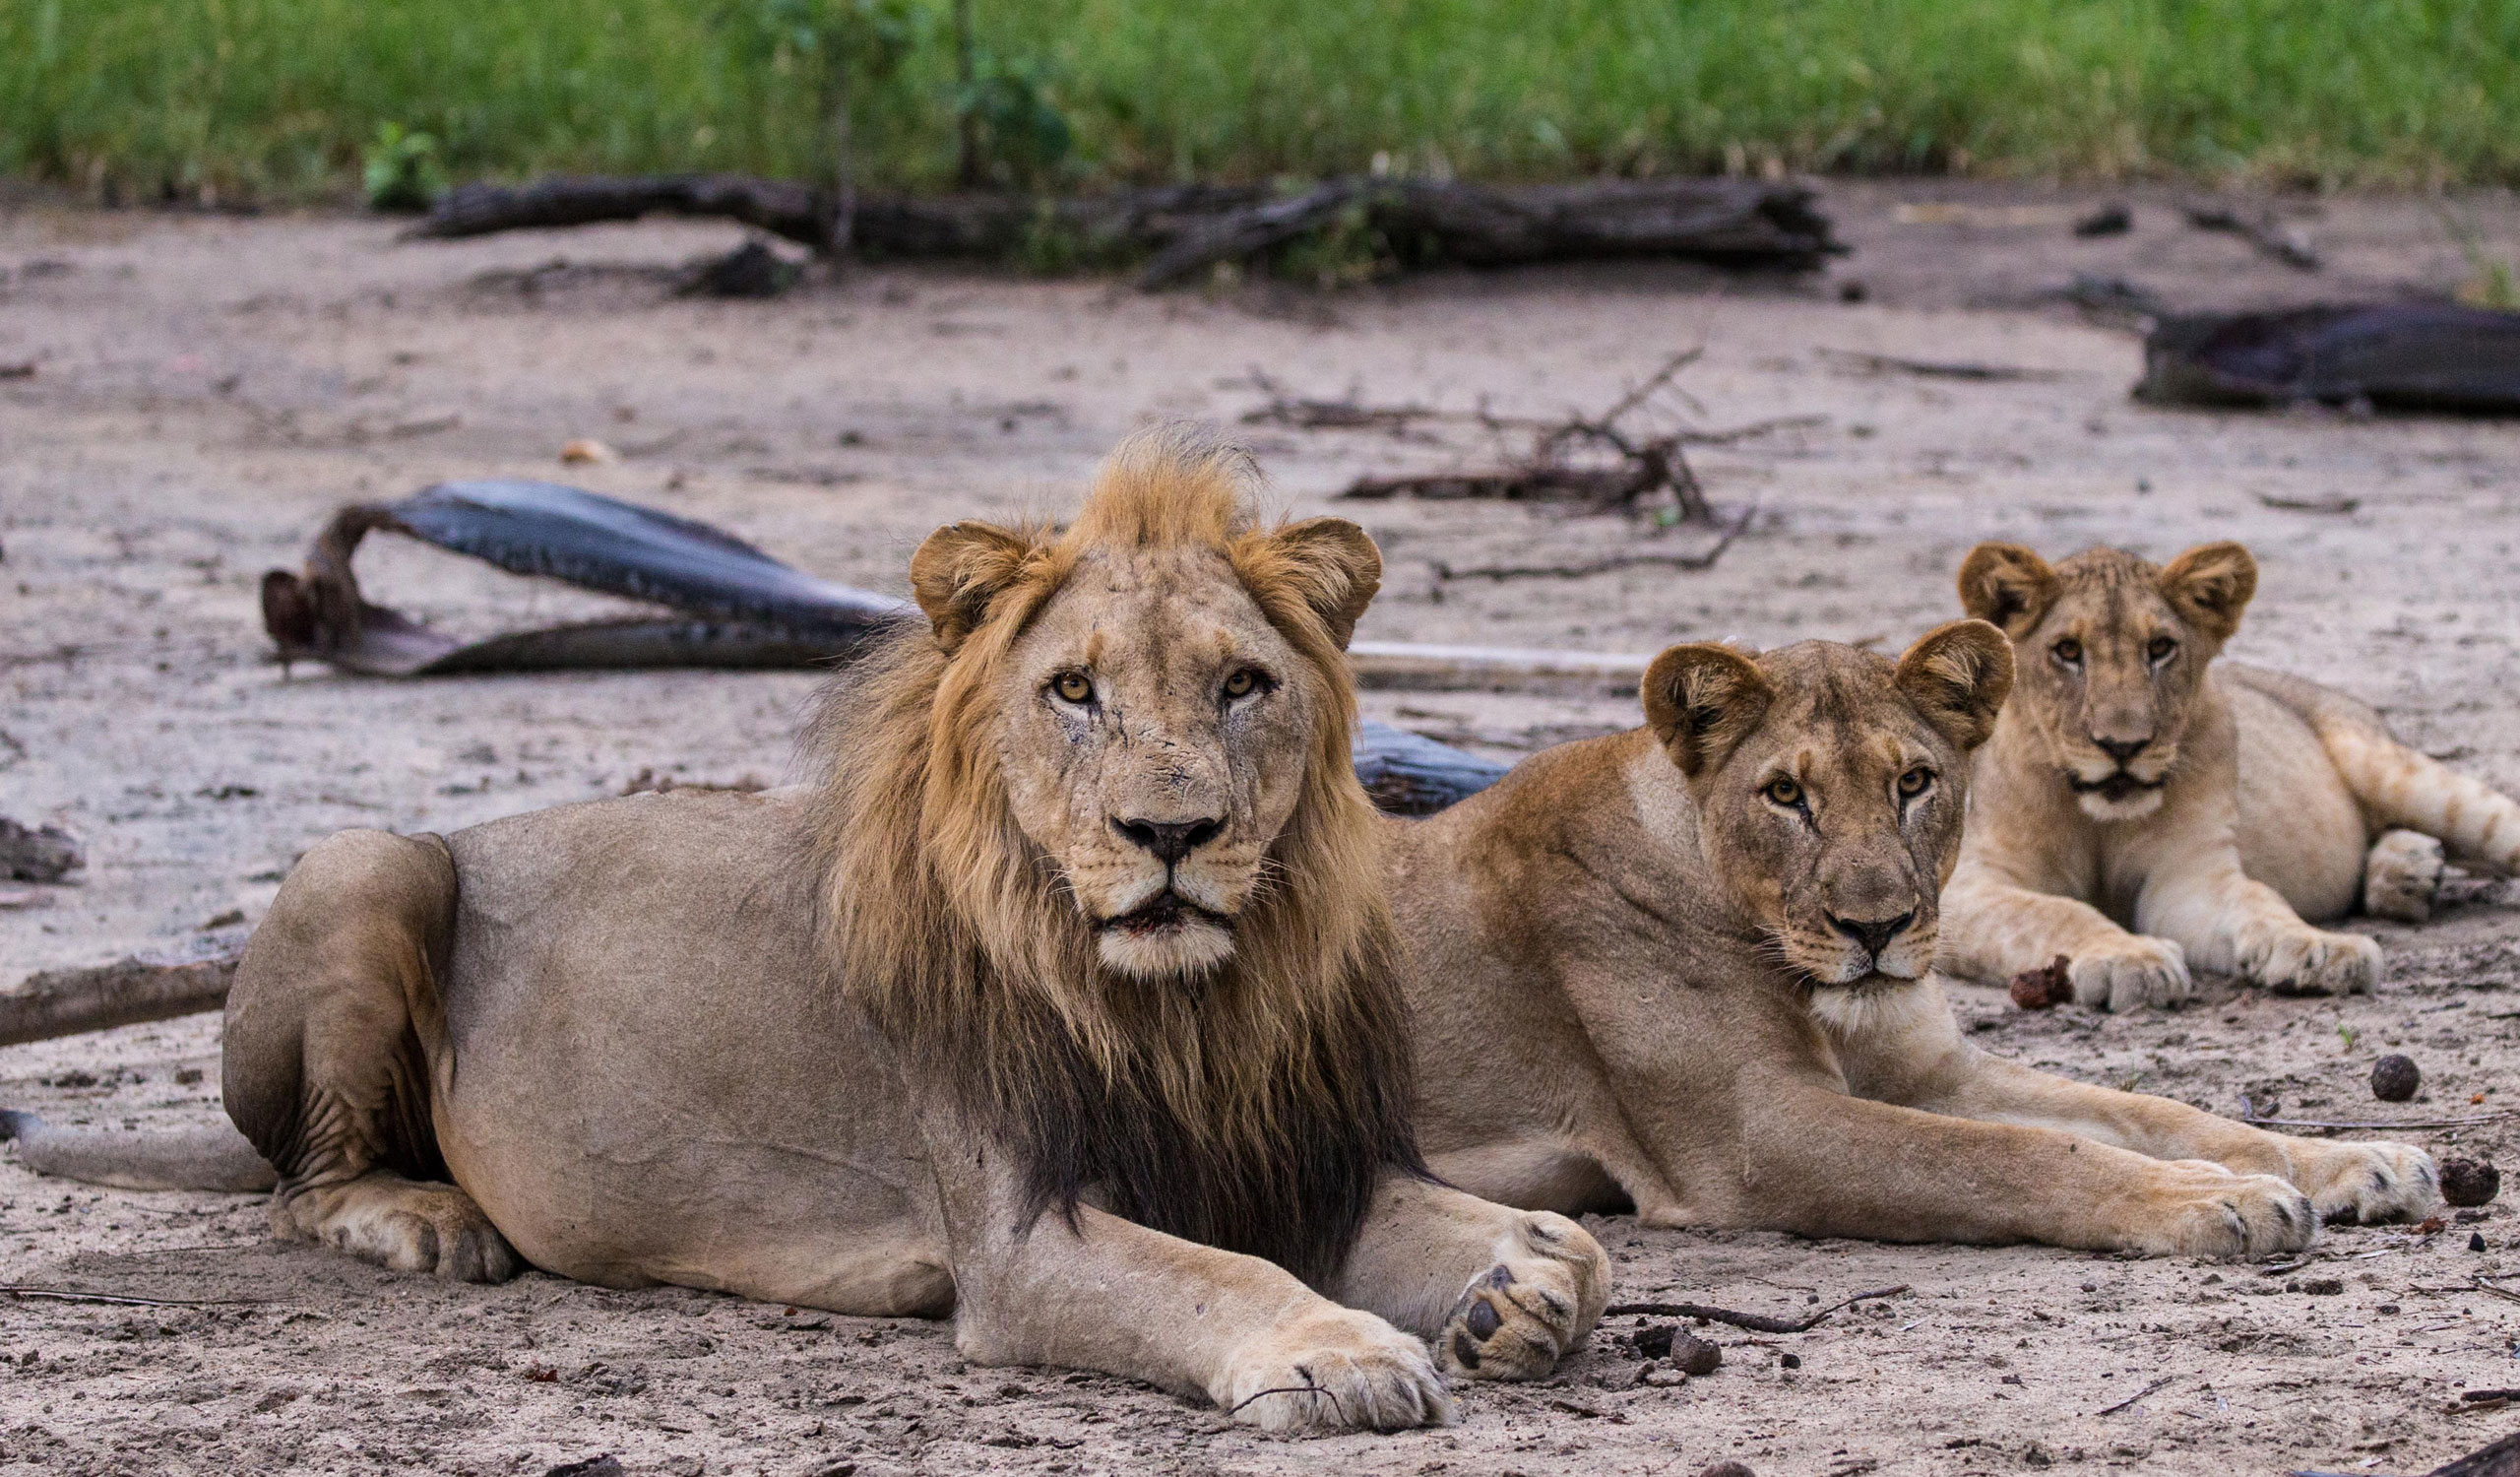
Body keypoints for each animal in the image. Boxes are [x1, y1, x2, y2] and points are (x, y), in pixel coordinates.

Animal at [54, 430, 1607, 1432]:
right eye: (1074, 691)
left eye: (1241, 686)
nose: (1169, 834)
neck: (1181, 1007)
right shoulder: (1015, 1243)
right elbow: (1211, 1273)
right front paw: (1332, 1350)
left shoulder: (1296, 1157)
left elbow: (1542, 1246)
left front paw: (1515, 1278)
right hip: (367, 859)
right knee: (299, 1184)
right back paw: (428, 1222)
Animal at [1385, 624, 2436, 1253]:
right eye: (1786, 793)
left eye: (1914, 782)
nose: (1877, 926)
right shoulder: (1757, 1135)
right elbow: (2008, 1158)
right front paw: (2209, 1200)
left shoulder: (1934, 1072)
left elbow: (2153, 1113)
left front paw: (2353, 1163)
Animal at [1939, 540, 2520, 1010]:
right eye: (2066, 651)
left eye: (2160, 648)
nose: (2123, 746)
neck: (2099, 818)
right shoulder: (1965, 888)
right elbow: (2054, 912)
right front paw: (2131, 957)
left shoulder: (2191, 875)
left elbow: (2260, 902)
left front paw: (2320, 948)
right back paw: (2407, 874)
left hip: (2395, 770)